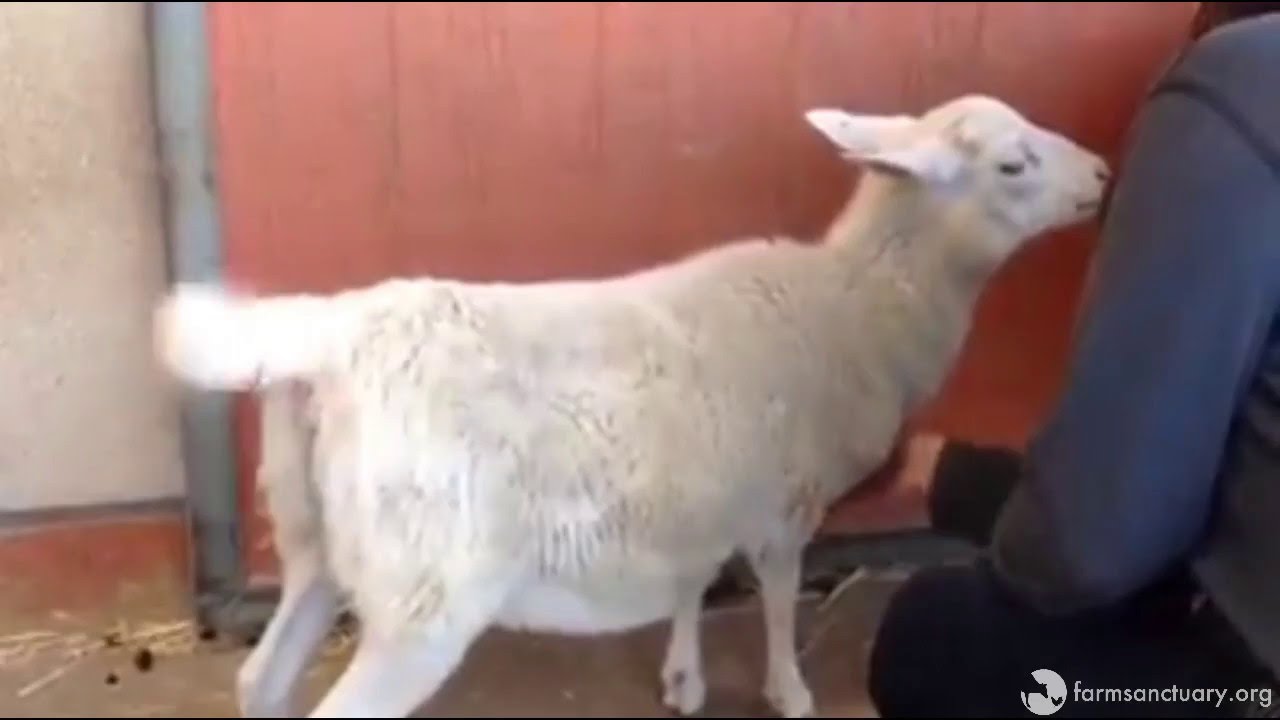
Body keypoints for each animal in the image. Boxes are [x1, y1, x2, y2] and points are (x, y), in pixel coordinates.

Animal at [153, 93, 1109, 719]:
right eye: (1012, 164)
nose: (1102, 172)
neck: (859, 304)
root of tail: (329, 335)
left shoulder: (695, 493)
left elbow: (689, 579)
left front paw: (683, 679)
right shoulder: (783, 500)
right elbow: (777, 596)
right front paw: (790, 691)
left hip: (316, 540)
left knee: (262, 680)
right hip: (425, 589)